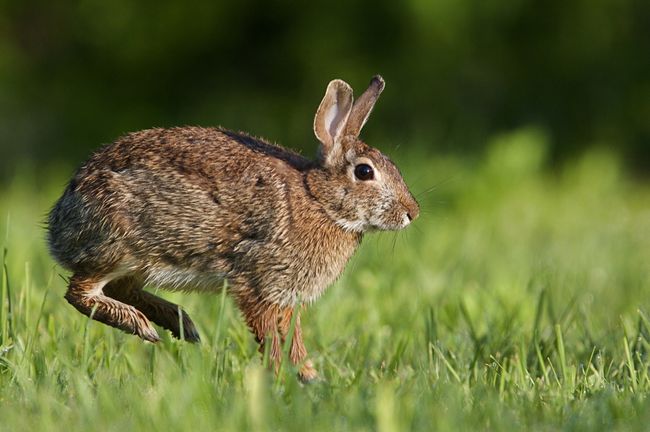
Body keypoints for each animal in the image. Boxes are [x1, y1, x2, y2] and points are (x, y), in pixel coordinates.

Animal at [47, 75, 419, 381]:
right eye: (365, 172)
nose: (411, 213)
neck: (318, 200)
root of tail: (59, 221)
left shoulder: (287, 298)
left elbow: (293, 339)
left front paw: (309, 378)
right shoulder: (259, 284)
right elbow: (272, 339)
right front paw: (285, 379)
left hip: (138, 262)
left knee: (119, 288)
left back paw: (181, 324)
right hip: (119, 245)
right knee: (80, 292)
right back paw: (144, 326)